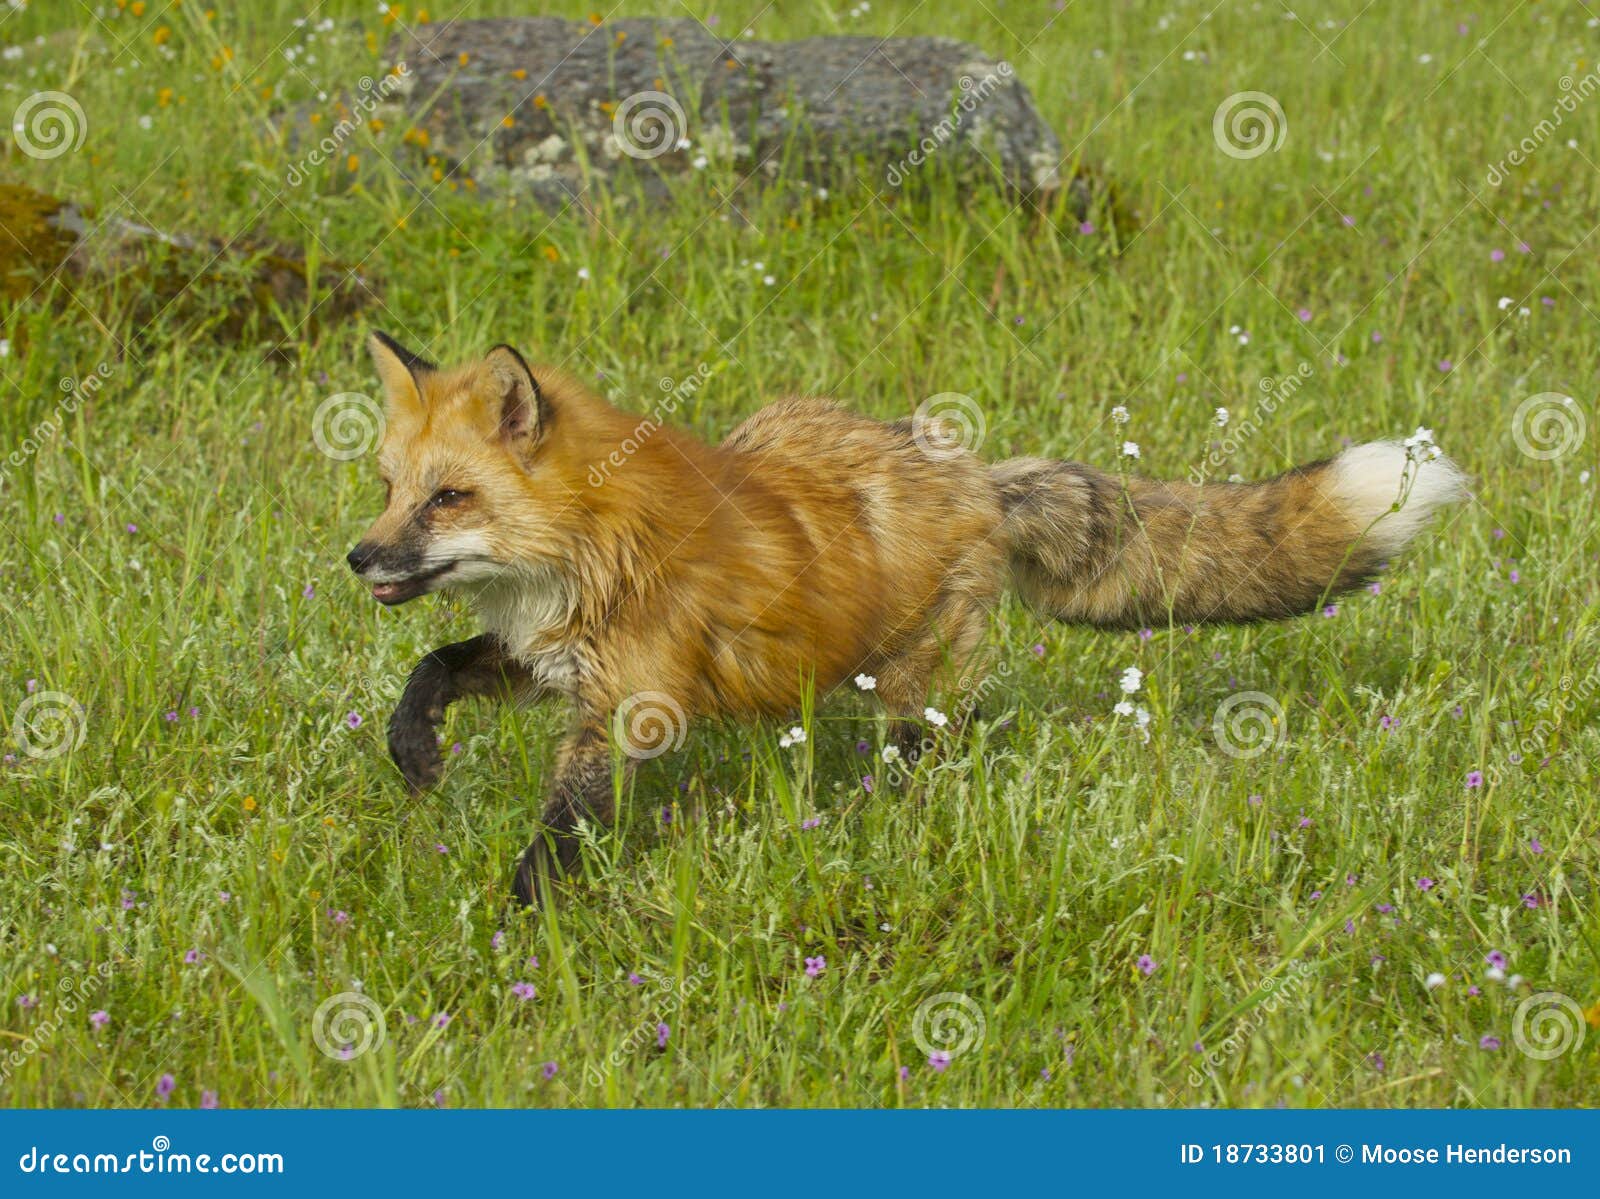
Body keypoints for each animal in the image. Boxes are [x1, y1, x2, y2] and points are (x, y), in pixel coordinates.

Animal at [346, 332, 1468, 907]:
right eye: (391, 488)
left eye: (450, 499)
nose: (359, 558)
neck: (591, 542)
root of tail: (976, 472)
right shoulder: (551, 657)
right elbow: (438, 662)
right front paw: (415, 745)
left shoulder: (632, 704)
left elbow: (557, 832)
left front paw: (518, 926)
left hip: (914, 688)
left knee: (926, 753)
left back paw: (877, 824)